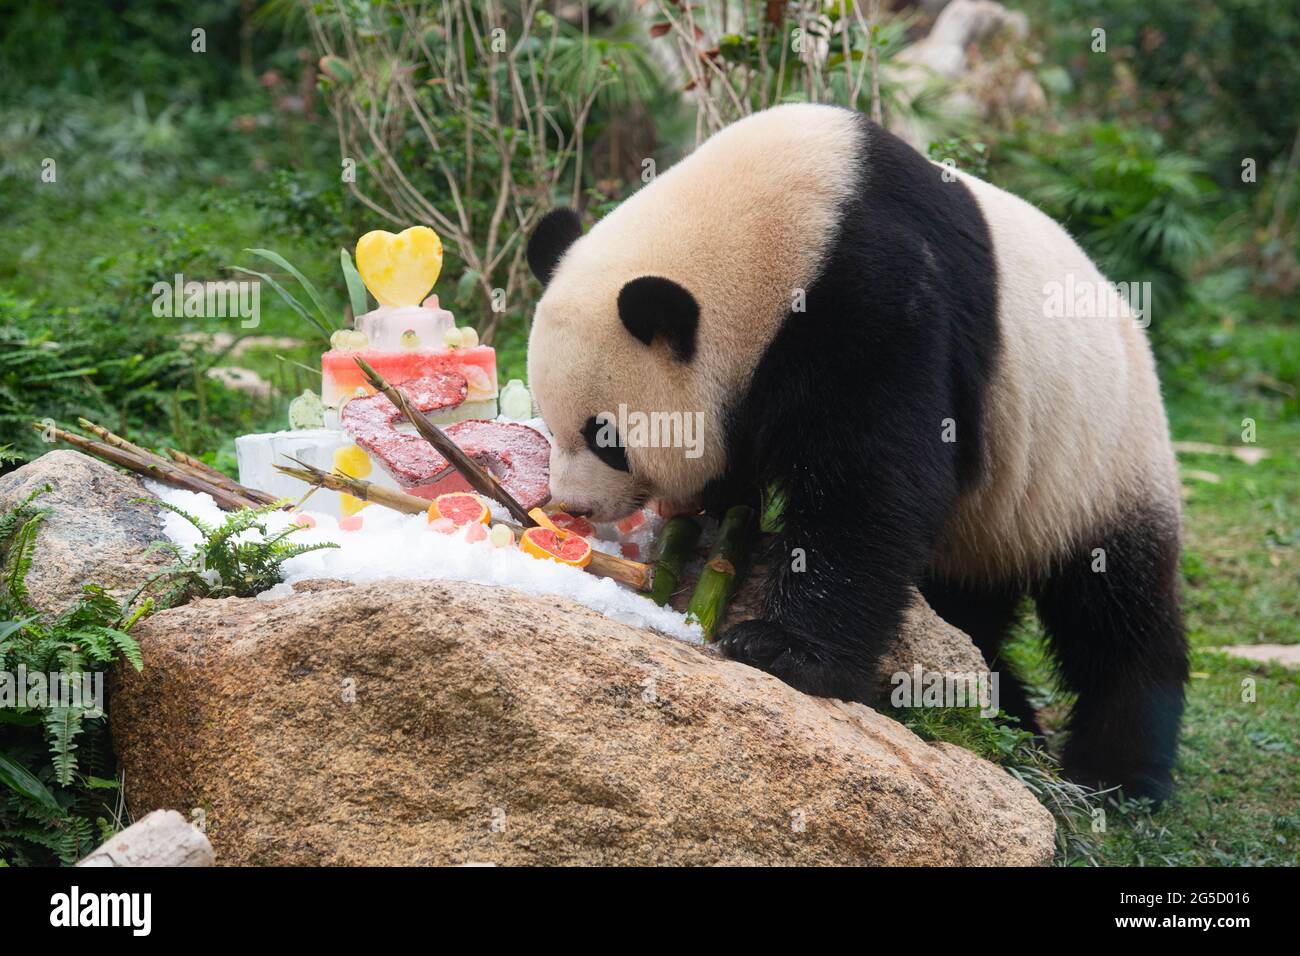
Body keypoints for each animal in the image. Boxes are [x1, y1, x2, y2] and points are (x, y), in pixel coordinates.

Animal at [525, 103, 1188, 801]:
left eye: (606, 438)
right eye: (549, 417)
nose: (573, 507)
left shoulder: (873, 295)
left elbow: (872, 482)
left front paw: (782, 650)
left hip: (1099, 458)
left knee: (1114, 610)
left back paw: (1119, 771)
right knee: (970, 606)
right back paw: (1012, 715)